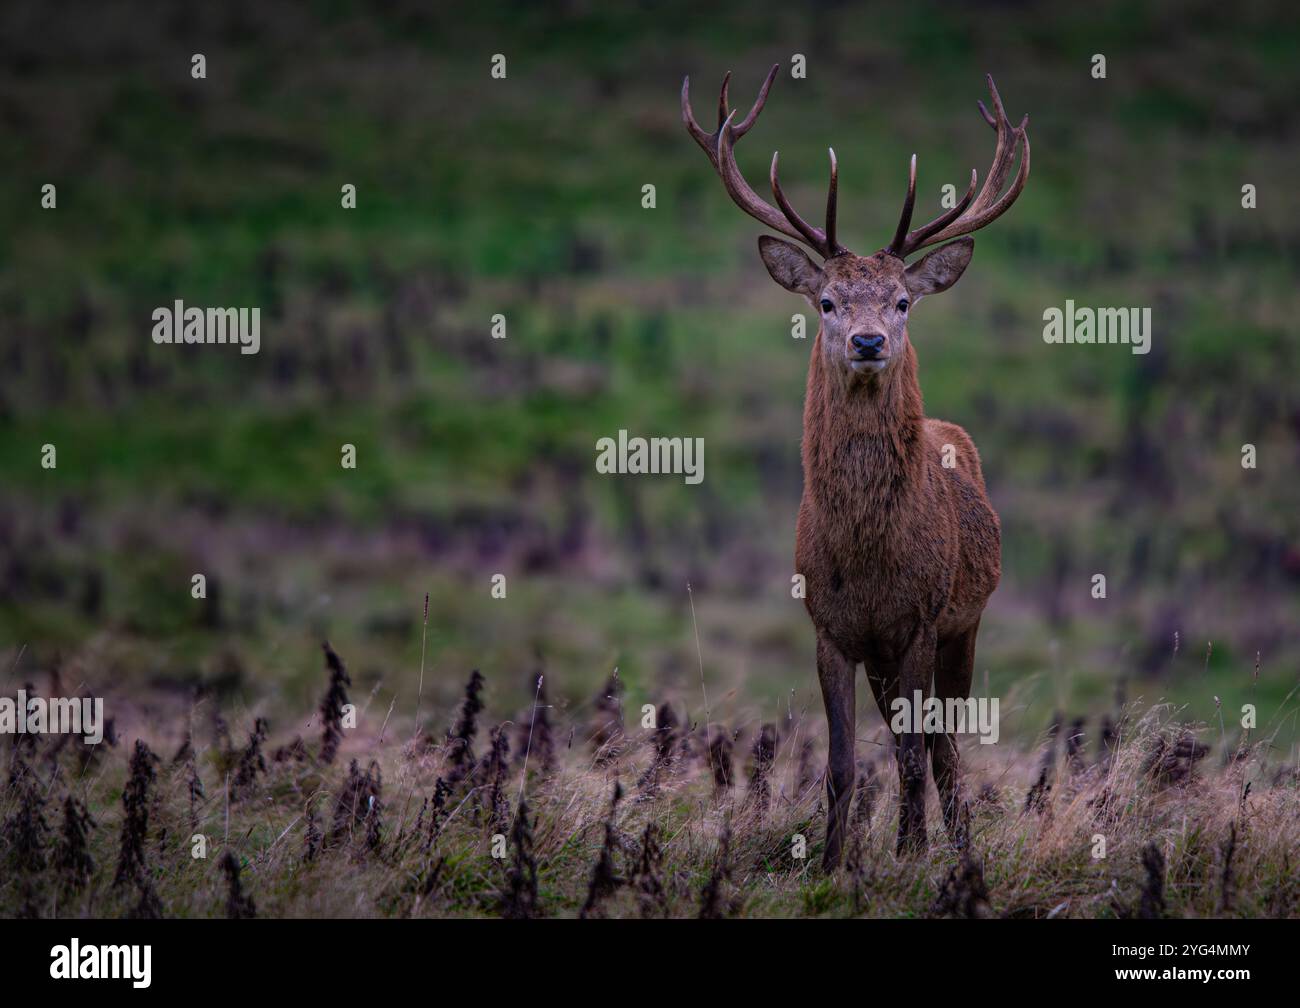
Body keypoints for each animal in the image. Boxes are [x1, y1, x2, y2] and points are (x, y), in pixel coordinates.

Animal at [683, 66, 1029, 868]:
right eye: (827, 300)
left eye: (902, 301)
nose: (868, 341)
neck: (870, 556)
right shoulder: (832, 628)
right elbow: (843, 762)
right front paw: (836, 861)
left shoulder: (922, 618)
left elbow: (911, 751)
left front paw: (909, 855)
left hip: (965, 623)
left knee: (943, 746)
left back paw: (955, 844)